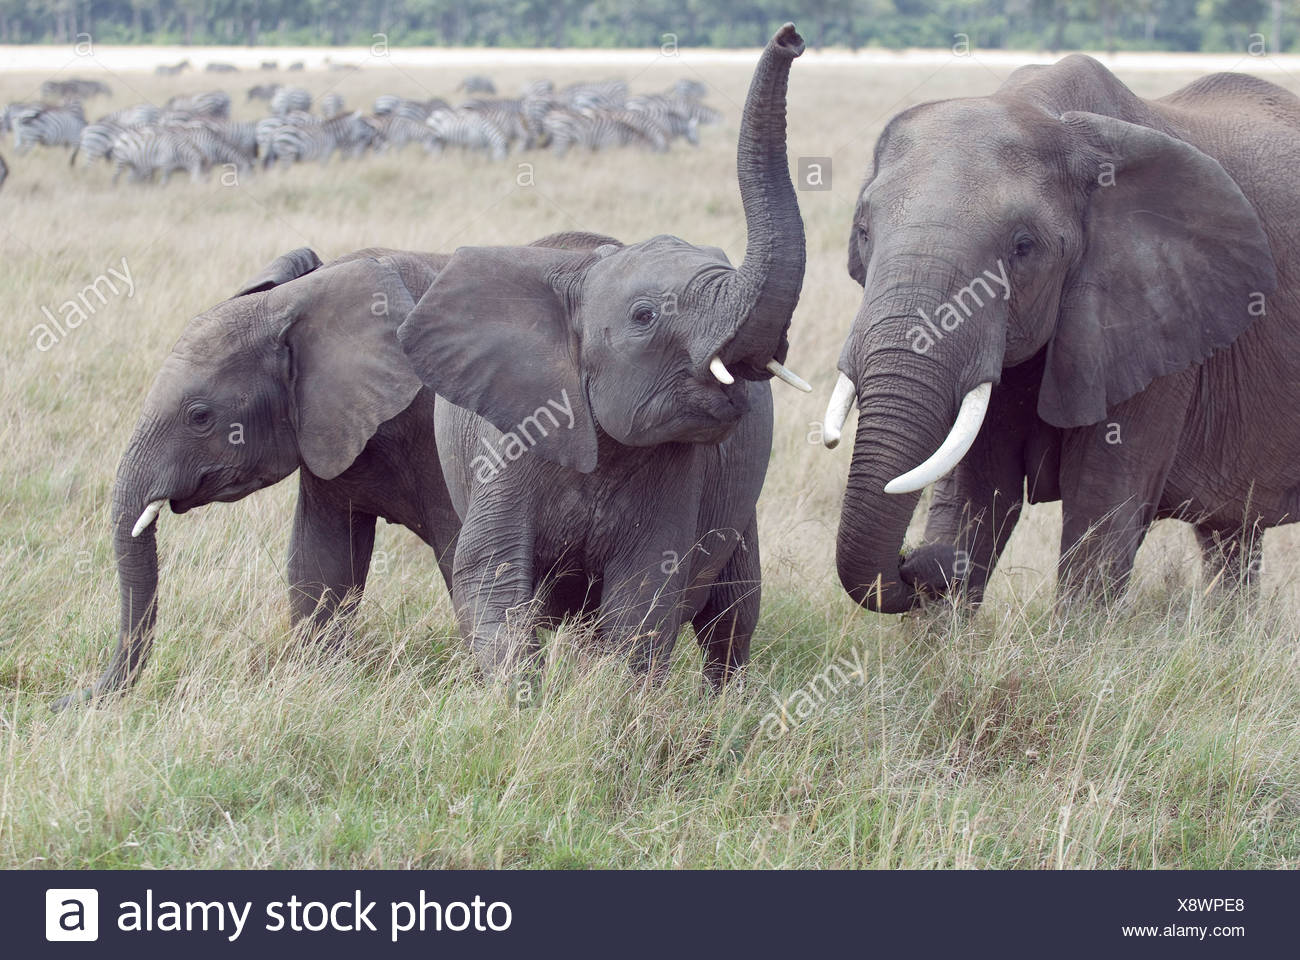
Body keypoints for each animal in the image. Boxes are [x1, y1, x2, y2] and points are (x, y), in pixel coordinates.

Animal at [54, 230, 617, 709]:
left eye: (200, 416)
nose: (61, 701)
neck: (301, 301)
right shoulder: (330, 432)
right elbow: (320, 562)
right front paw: (320, 682)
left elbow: (461, 559)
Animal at [394, 24, 808, 687]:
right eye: (644, 316)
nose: (790, 36)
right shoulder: (510, 431)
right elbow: (491, 570)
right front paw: (517, 700)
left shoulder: (680, 464)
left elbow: (648, 587)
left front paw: (612, 702)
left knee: (733, 612)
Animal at [823, 55, 1300, 612]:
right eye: (863, 232)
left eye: (1023, 248)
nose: (915, 560)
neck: (1045, 110)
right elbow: (977, 492)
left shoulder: (1158, 322)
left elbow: (1102, 505)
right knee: (1230, 533)